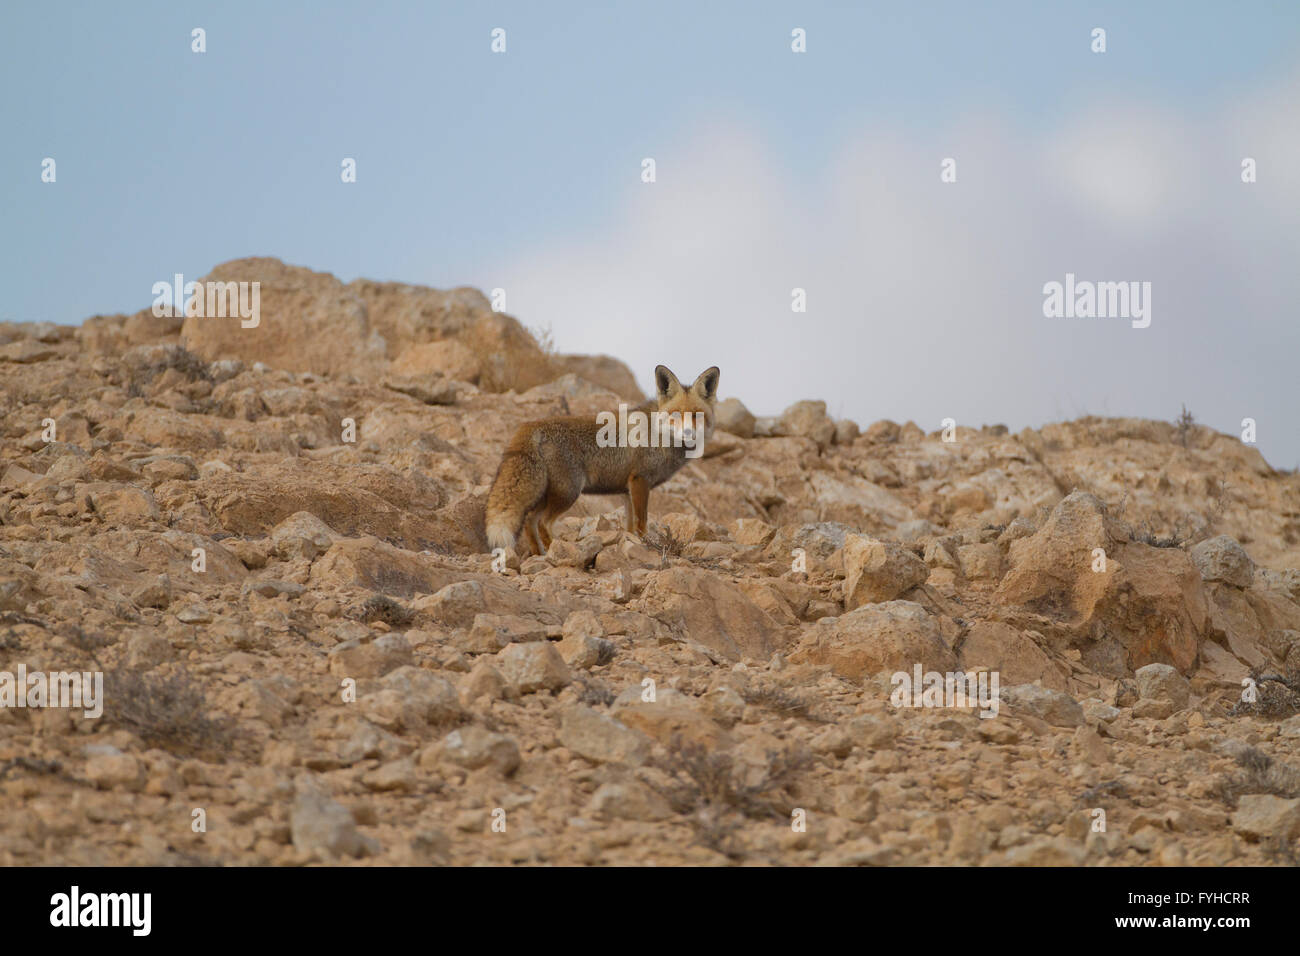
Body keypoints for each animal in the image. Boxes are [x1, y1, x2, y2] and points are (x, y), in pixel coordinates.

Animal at [485, 364, 720, 556]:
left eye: (697, 415)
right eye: (675, 414)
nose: (688, 432)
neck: (658, 434)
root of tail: (530, 426)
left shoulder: (627, 490)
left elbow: (630, 527)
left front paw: (632, 545)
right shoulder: (640, 480)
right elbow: (642, 524)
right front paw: (646, 545)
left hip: (547, 494)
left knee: (529, 521)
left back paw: (538, 553)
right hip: (569, 492)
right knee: (543, 523)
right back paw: (559, 550)